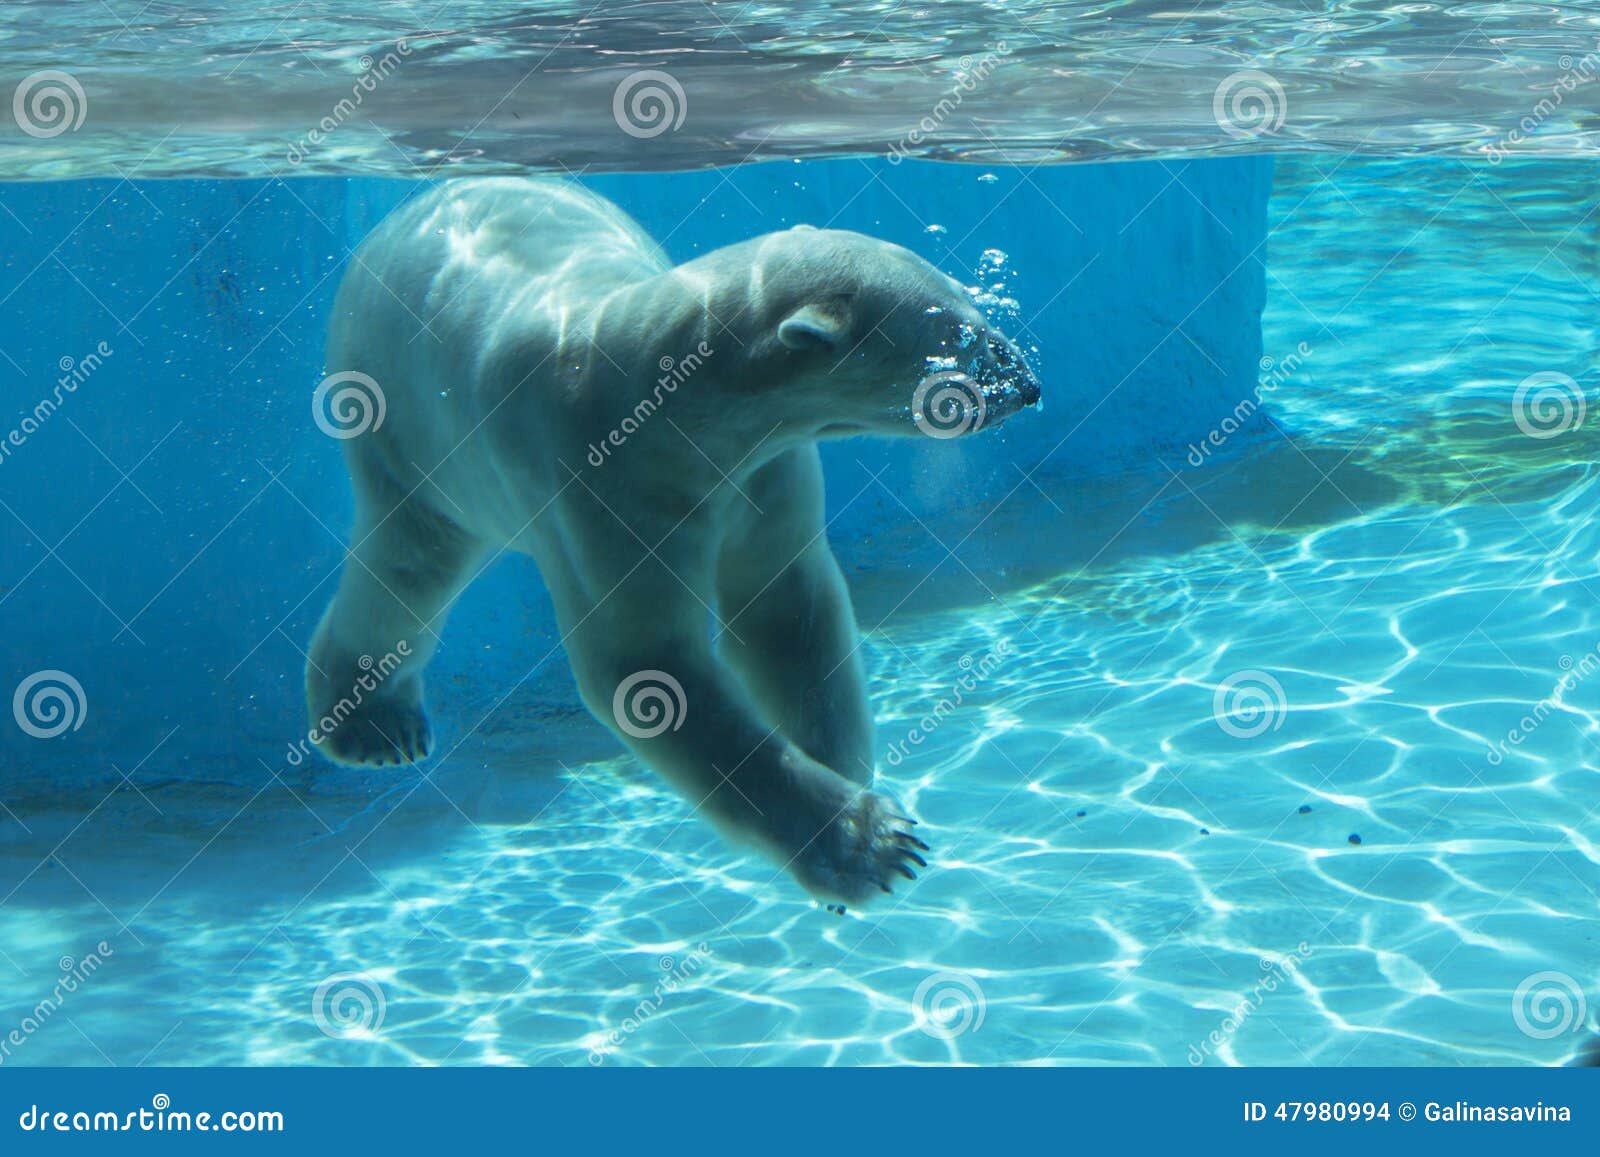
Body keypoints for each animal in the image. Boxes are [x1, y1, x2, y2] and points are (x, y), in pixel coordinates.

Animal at [306, 177, 1040, 908]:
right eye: (959, 333)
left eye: (974, 306)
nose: (1029, 383)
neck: (672, 404)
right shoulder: (604, 484)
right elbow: (647, 665)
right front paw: (867, 844)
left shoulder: (761, 471)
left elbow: (787, 606)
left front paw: (844, 778)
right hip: (400, 425)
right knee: (407, 568)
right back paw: (372, 723)